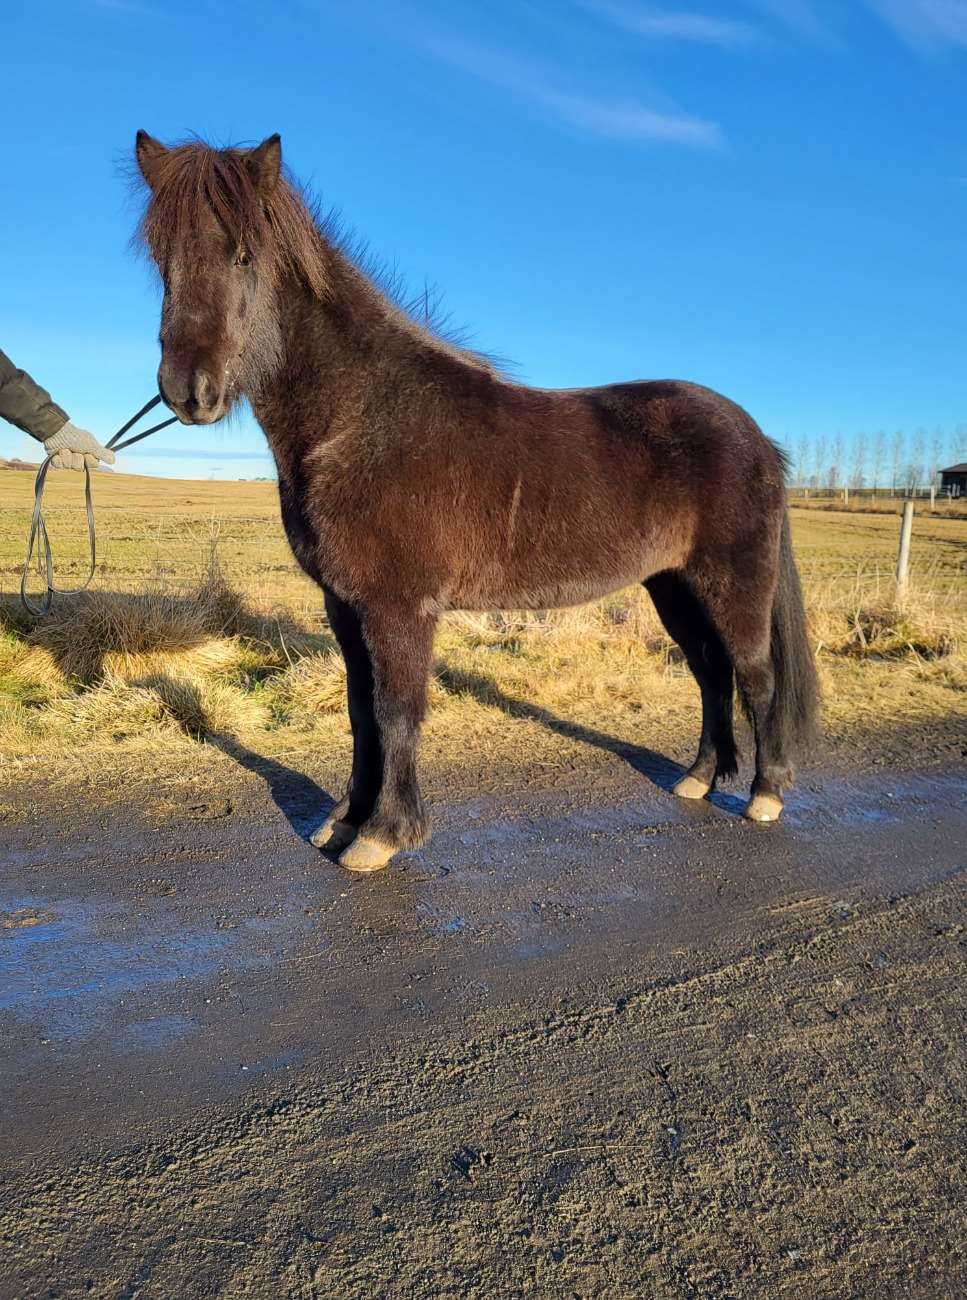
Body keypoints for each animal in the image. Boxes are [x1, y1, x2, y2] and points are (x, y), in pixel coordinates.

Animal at [134, 131, 818, 873]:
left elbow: (396, 713)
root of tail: (757, 438)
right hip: (672, 586)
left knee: (756, 679)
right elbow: (360, 712)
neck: (363, 417)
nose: (188, 390)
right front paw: (345, 821)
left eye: (243, 255)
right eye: (161, 258)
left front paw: (382, 834)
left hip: (732, 586)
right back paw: (697, 779)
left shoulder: (399, 607)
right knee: (709, 675)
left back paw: (763, 796)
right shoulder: (344, 603)